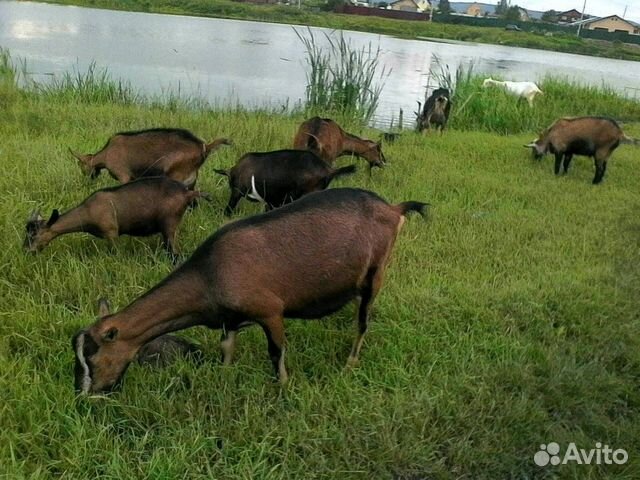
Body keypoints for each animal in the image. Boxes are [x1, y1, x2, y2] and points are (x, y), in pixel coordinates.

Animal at [24, 177, 209, 259]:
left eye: (34, 234)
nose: (26, 251)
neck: (88, 211)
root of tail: (186, 193)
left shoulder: (111, 232)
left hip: (169, 223)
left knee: (175, 252)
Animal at [70, 128, 231, 188]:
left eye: (81, 166)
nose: (87, 179)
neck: (106, 155)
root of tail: (204, 147)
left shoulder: (124, 176)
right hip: (191, 179)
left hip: (176, 175)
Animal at [71, 188, 428, 394]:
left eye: (94, 358)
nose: (85, 396)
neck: (209, 275)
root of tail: (394, 209)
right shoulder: (229, 318)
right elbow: (227, 348)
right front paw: (225, 377)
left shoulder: (270, 311)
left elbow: (276, 352)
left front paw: (283, 389)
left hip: (376, 274)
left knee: (363, 321)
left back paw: (350, 363)